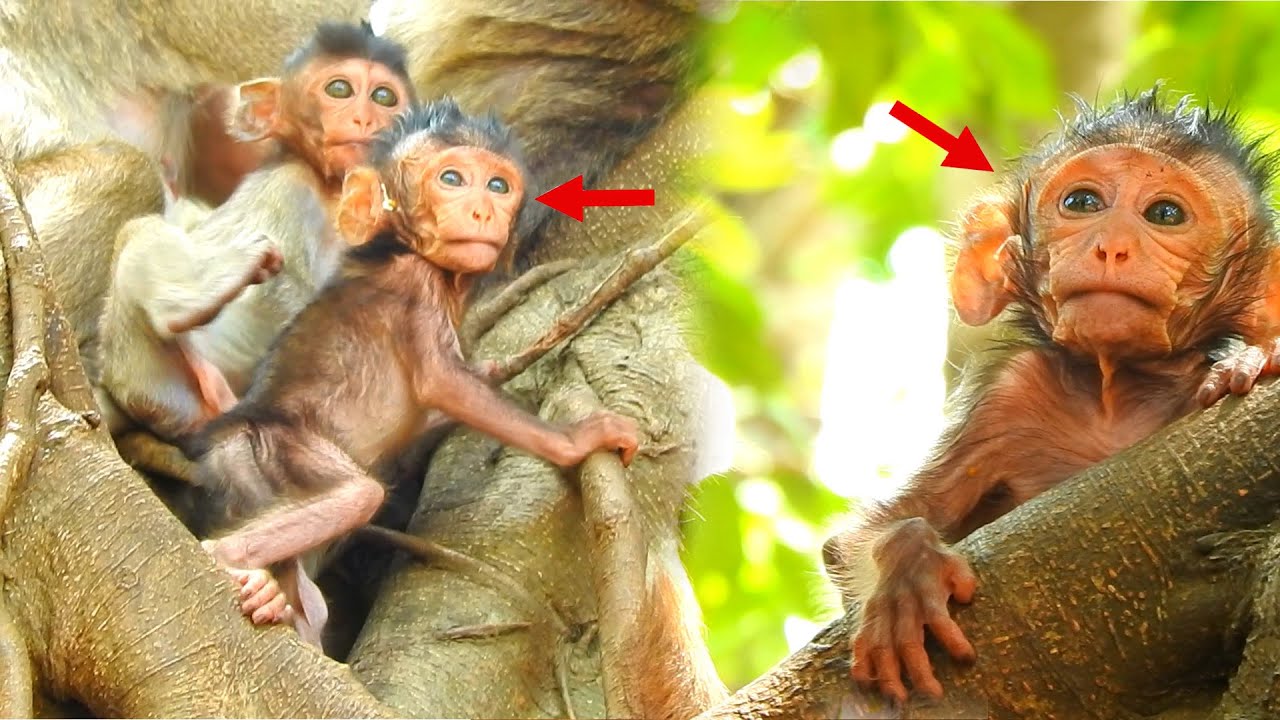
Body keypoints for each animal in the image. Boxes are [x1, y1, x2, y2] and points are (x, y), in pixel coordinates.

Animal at [95, 22, 417, 445]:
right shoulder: (292, 189)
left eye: (384, 96)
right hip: (146, 377)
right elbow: (295, 298)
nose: (366, 119)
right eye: (339, 89)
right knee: (139, 235)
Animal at [189, 99, 640, 645]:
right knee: (357, 494)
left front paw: (492, 370)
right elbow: (440, 381)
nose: (482, 210)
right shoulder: (416, 287)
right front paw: (579, 439)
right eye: (451, 178)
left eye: (497, 185)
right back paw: (228, 558)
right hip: (279, 447)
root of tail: (227, 438)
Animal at [821, 88, 1280, 704]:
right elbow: (858, 537)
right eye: (1082, 202)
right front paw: (906, 571)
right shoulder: (1010, 394)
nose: (1112, 246)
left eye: (1165, 214)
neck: (1113, 396)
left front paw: (1254, 358)